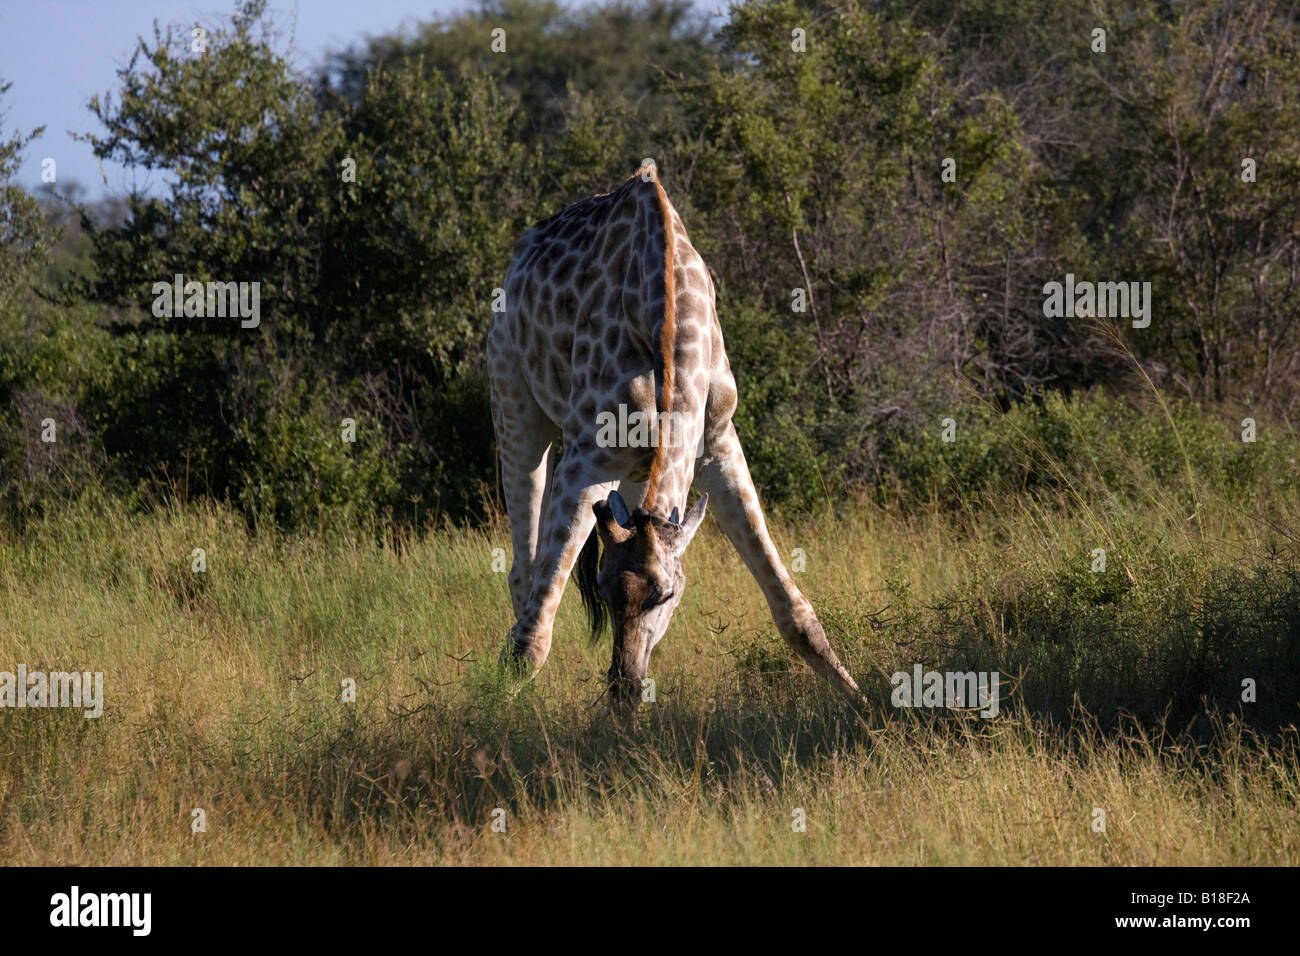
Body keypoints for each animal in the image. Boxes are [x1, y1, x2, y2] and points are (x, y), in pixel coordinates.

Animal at [487, 163, 862, 710]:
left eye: (666, 595)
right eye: (602, 589)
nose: (624, 687)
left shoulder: (718, 447)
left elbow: (795, 612)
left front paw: (863, 702)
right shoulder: (586, 460)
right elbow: (531, 638)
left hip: (633, 468)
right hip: (514, 402)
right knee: (525, 572)